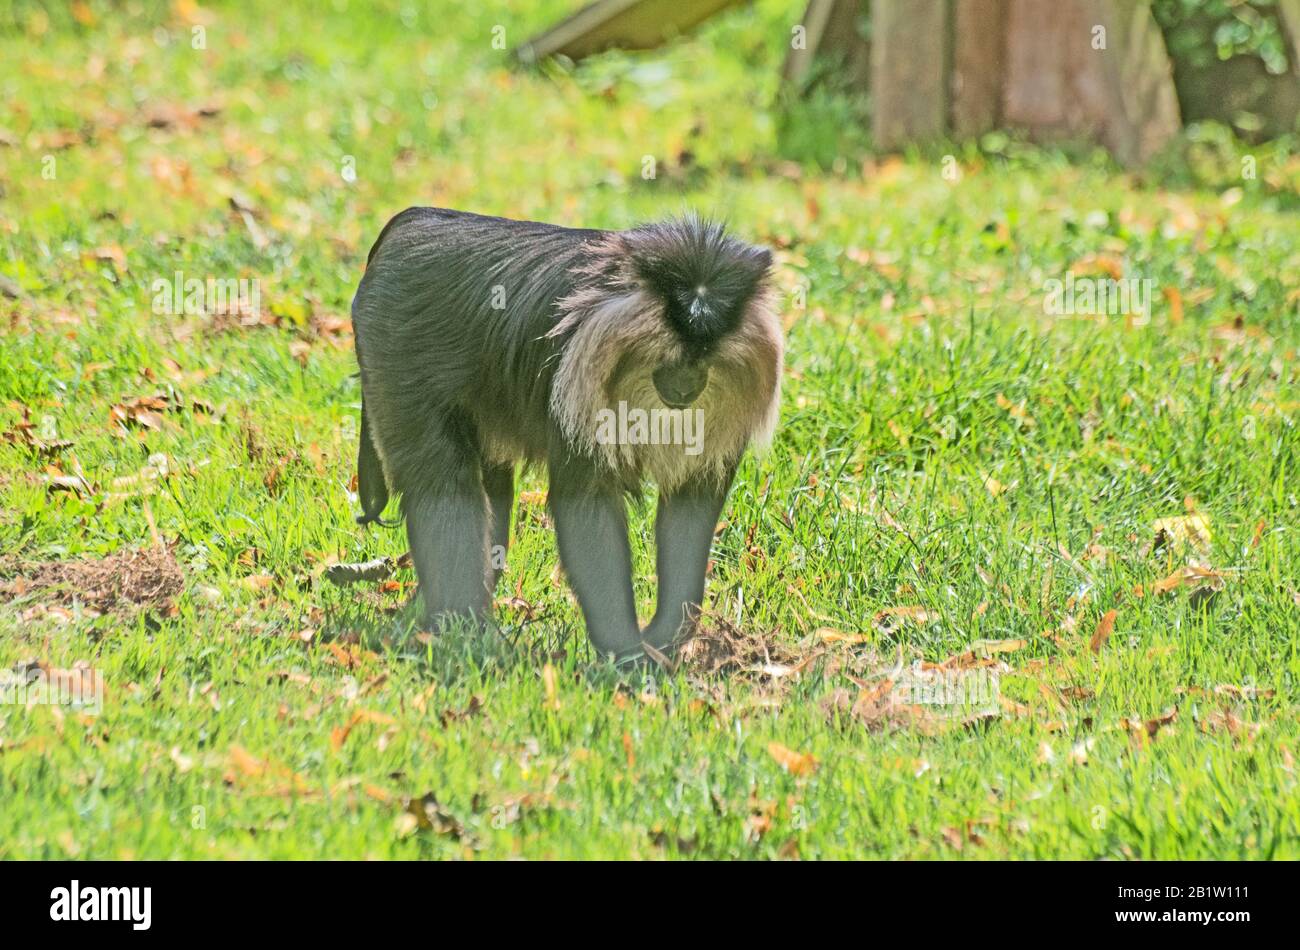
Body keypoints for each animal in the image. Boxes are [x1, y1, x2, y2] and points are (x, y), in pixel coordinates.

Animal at [349, 208, 782, 662]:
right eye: (668, 344)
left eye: (707, 352)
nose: (686, 385)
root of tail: (410, 222)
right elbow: (585, 508)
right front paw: (627, 652)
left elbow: (691, 511)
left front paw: (664, 636)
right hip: (396, 358)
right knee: (442, 483)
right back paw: (459, 631)